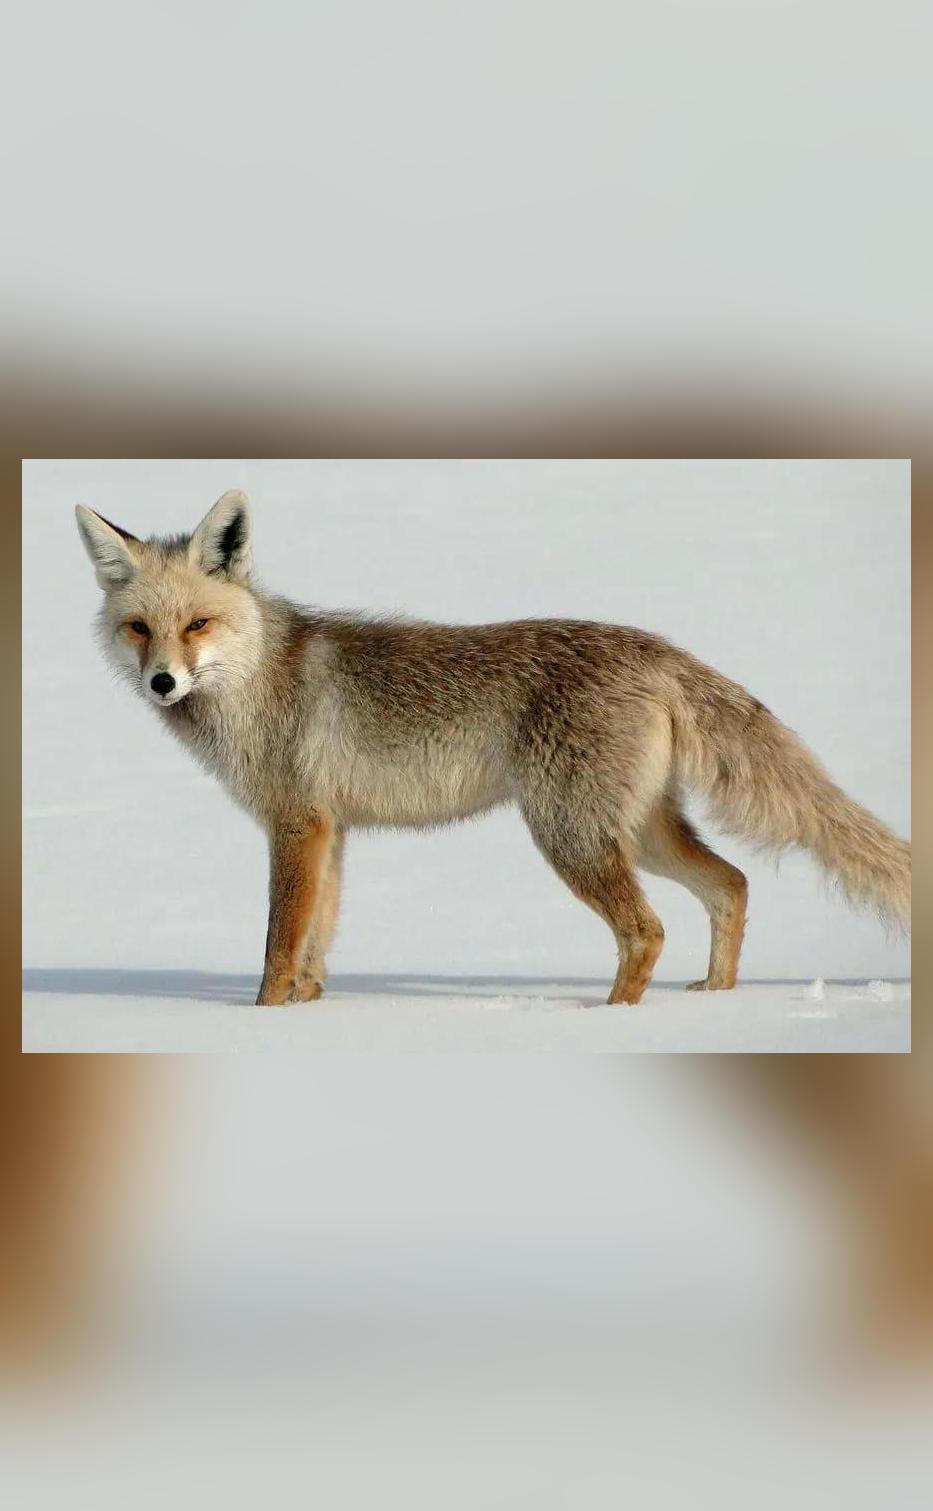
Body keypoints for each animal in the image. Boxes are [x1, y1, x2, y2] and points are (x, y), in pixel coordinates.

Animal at [76, 489, 910, 1007]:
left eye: (198, 625)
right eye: (140, 628)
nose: (161, 682)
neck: (258, 679)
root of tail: (654, 646)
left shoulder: (296, 825)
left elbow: (279, 948)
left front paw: (263, 1019)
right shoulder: (330, 829)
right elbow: (316, 945)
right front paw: (310, 1013)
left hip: (570, 835)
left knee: (646, 930)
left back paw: (604, 1019)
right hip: (638, 832)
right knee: (730, 884)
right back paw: (715, 1000)